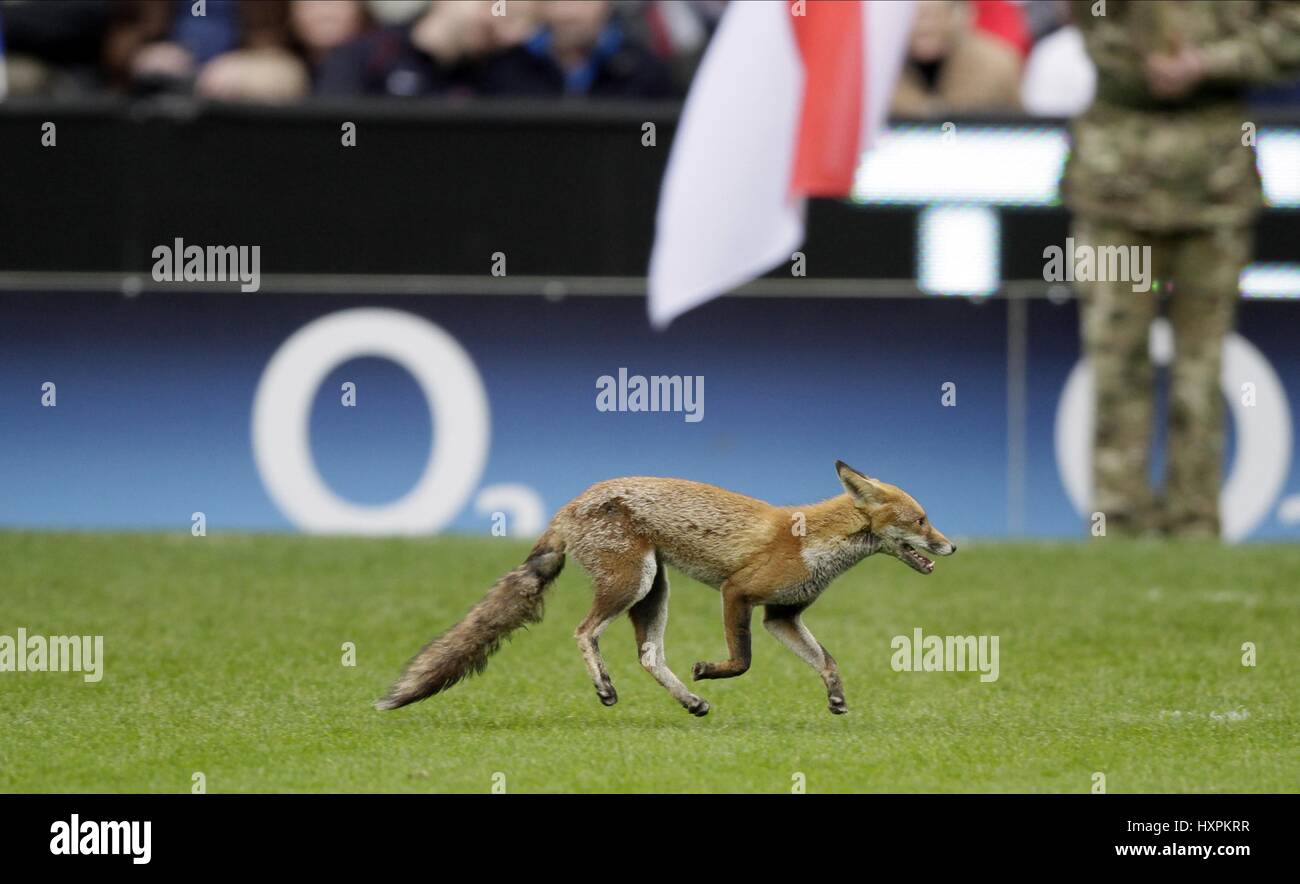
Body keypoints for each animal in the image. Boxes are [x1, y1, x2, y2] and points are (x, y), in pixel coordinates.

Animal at [376, 461, 955, 716]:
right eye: (922, 521)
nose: (950, 546)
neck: (815, 542)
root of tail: (568, 504)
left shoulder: (782, 616)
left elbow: (829, 661)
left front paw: (835, 697)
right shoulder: (737, 593)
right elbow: (741, 661)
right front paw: (711, 669)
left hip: (654, 591)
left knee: (649, 655)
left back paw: (689, 701)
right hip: (630, 584)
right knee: (583, 632)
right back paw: (606, 687)